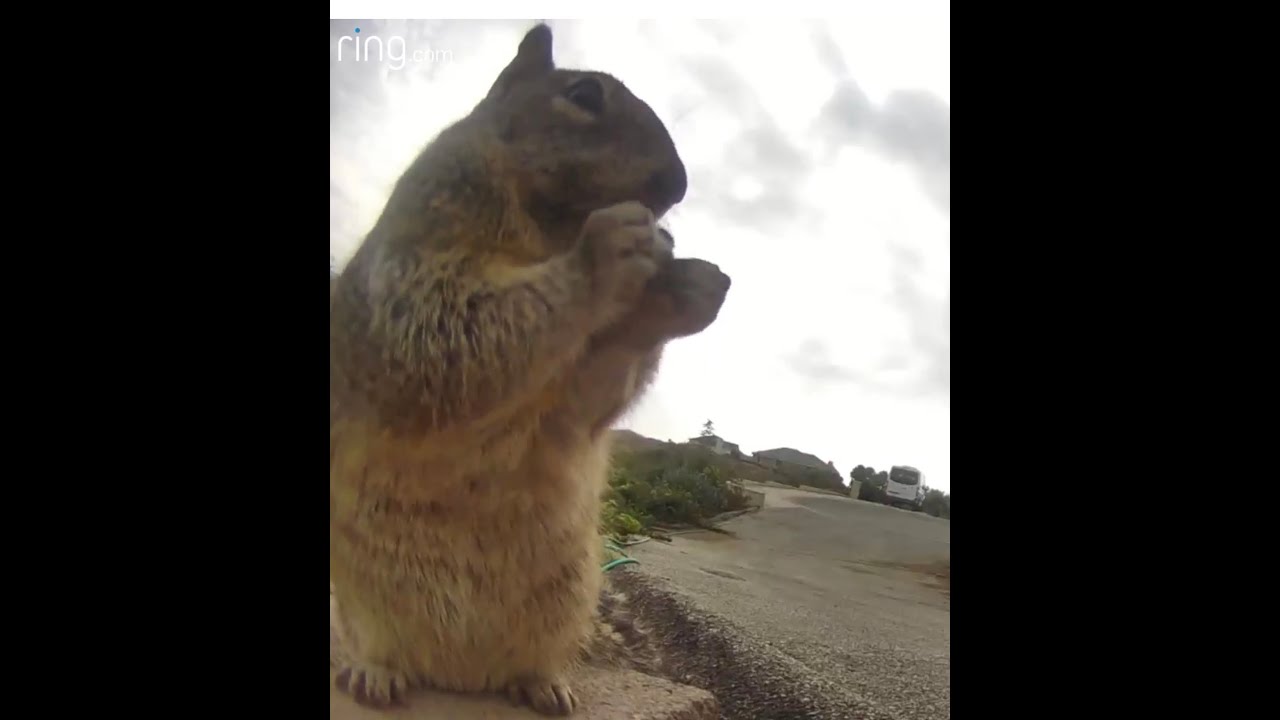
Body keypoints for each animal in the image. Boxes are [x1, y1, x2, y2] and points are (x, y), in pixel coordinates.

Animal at [329, 23, 731, 716]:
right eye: (584, 94)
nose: (676, 185)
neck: (552, 228)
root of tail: (458, 674)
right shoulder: (421, 251)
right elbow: (441, 336)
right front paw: (611, 247)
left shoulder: (570, 398)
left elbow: (592, 398)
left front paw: (679, 288)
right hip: (351, 602)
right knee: (367, 644)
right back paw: (371, 671)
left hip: (568, 602)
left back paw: (545, 683)